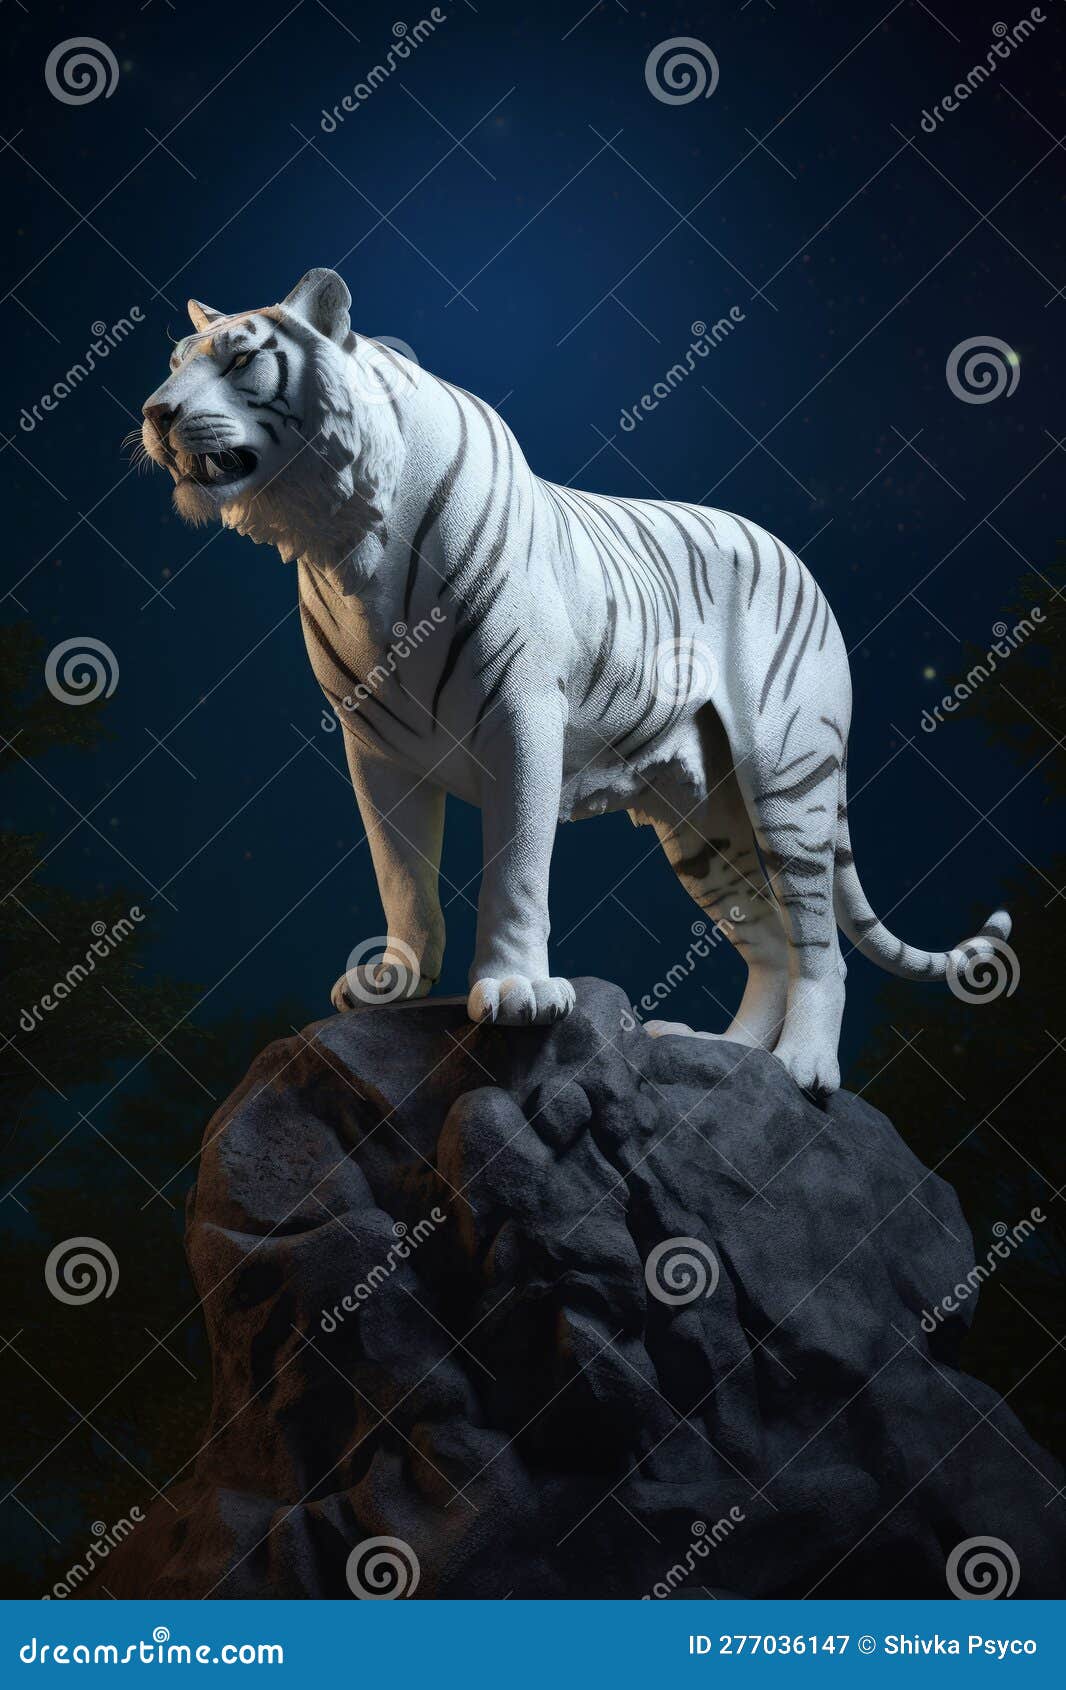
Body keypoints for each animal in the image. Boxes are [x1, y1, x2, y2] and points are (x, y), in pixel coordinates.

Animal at [139, 267, 1010, 1096]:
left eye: (241, 359)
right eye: (176, 363)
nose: (153, 411)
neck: (346, 539)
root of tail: (793, 556)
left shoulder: (521, 714)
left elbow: (516, 868)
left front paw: (516, 992)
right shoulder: (374, 746)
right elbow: (403, 875)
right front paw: (394, 982)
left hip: (787, 777)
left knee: (818, 942)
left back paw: (802, 1070)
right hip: (703, 822)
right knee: (766, 940)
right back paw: (727, 1056)